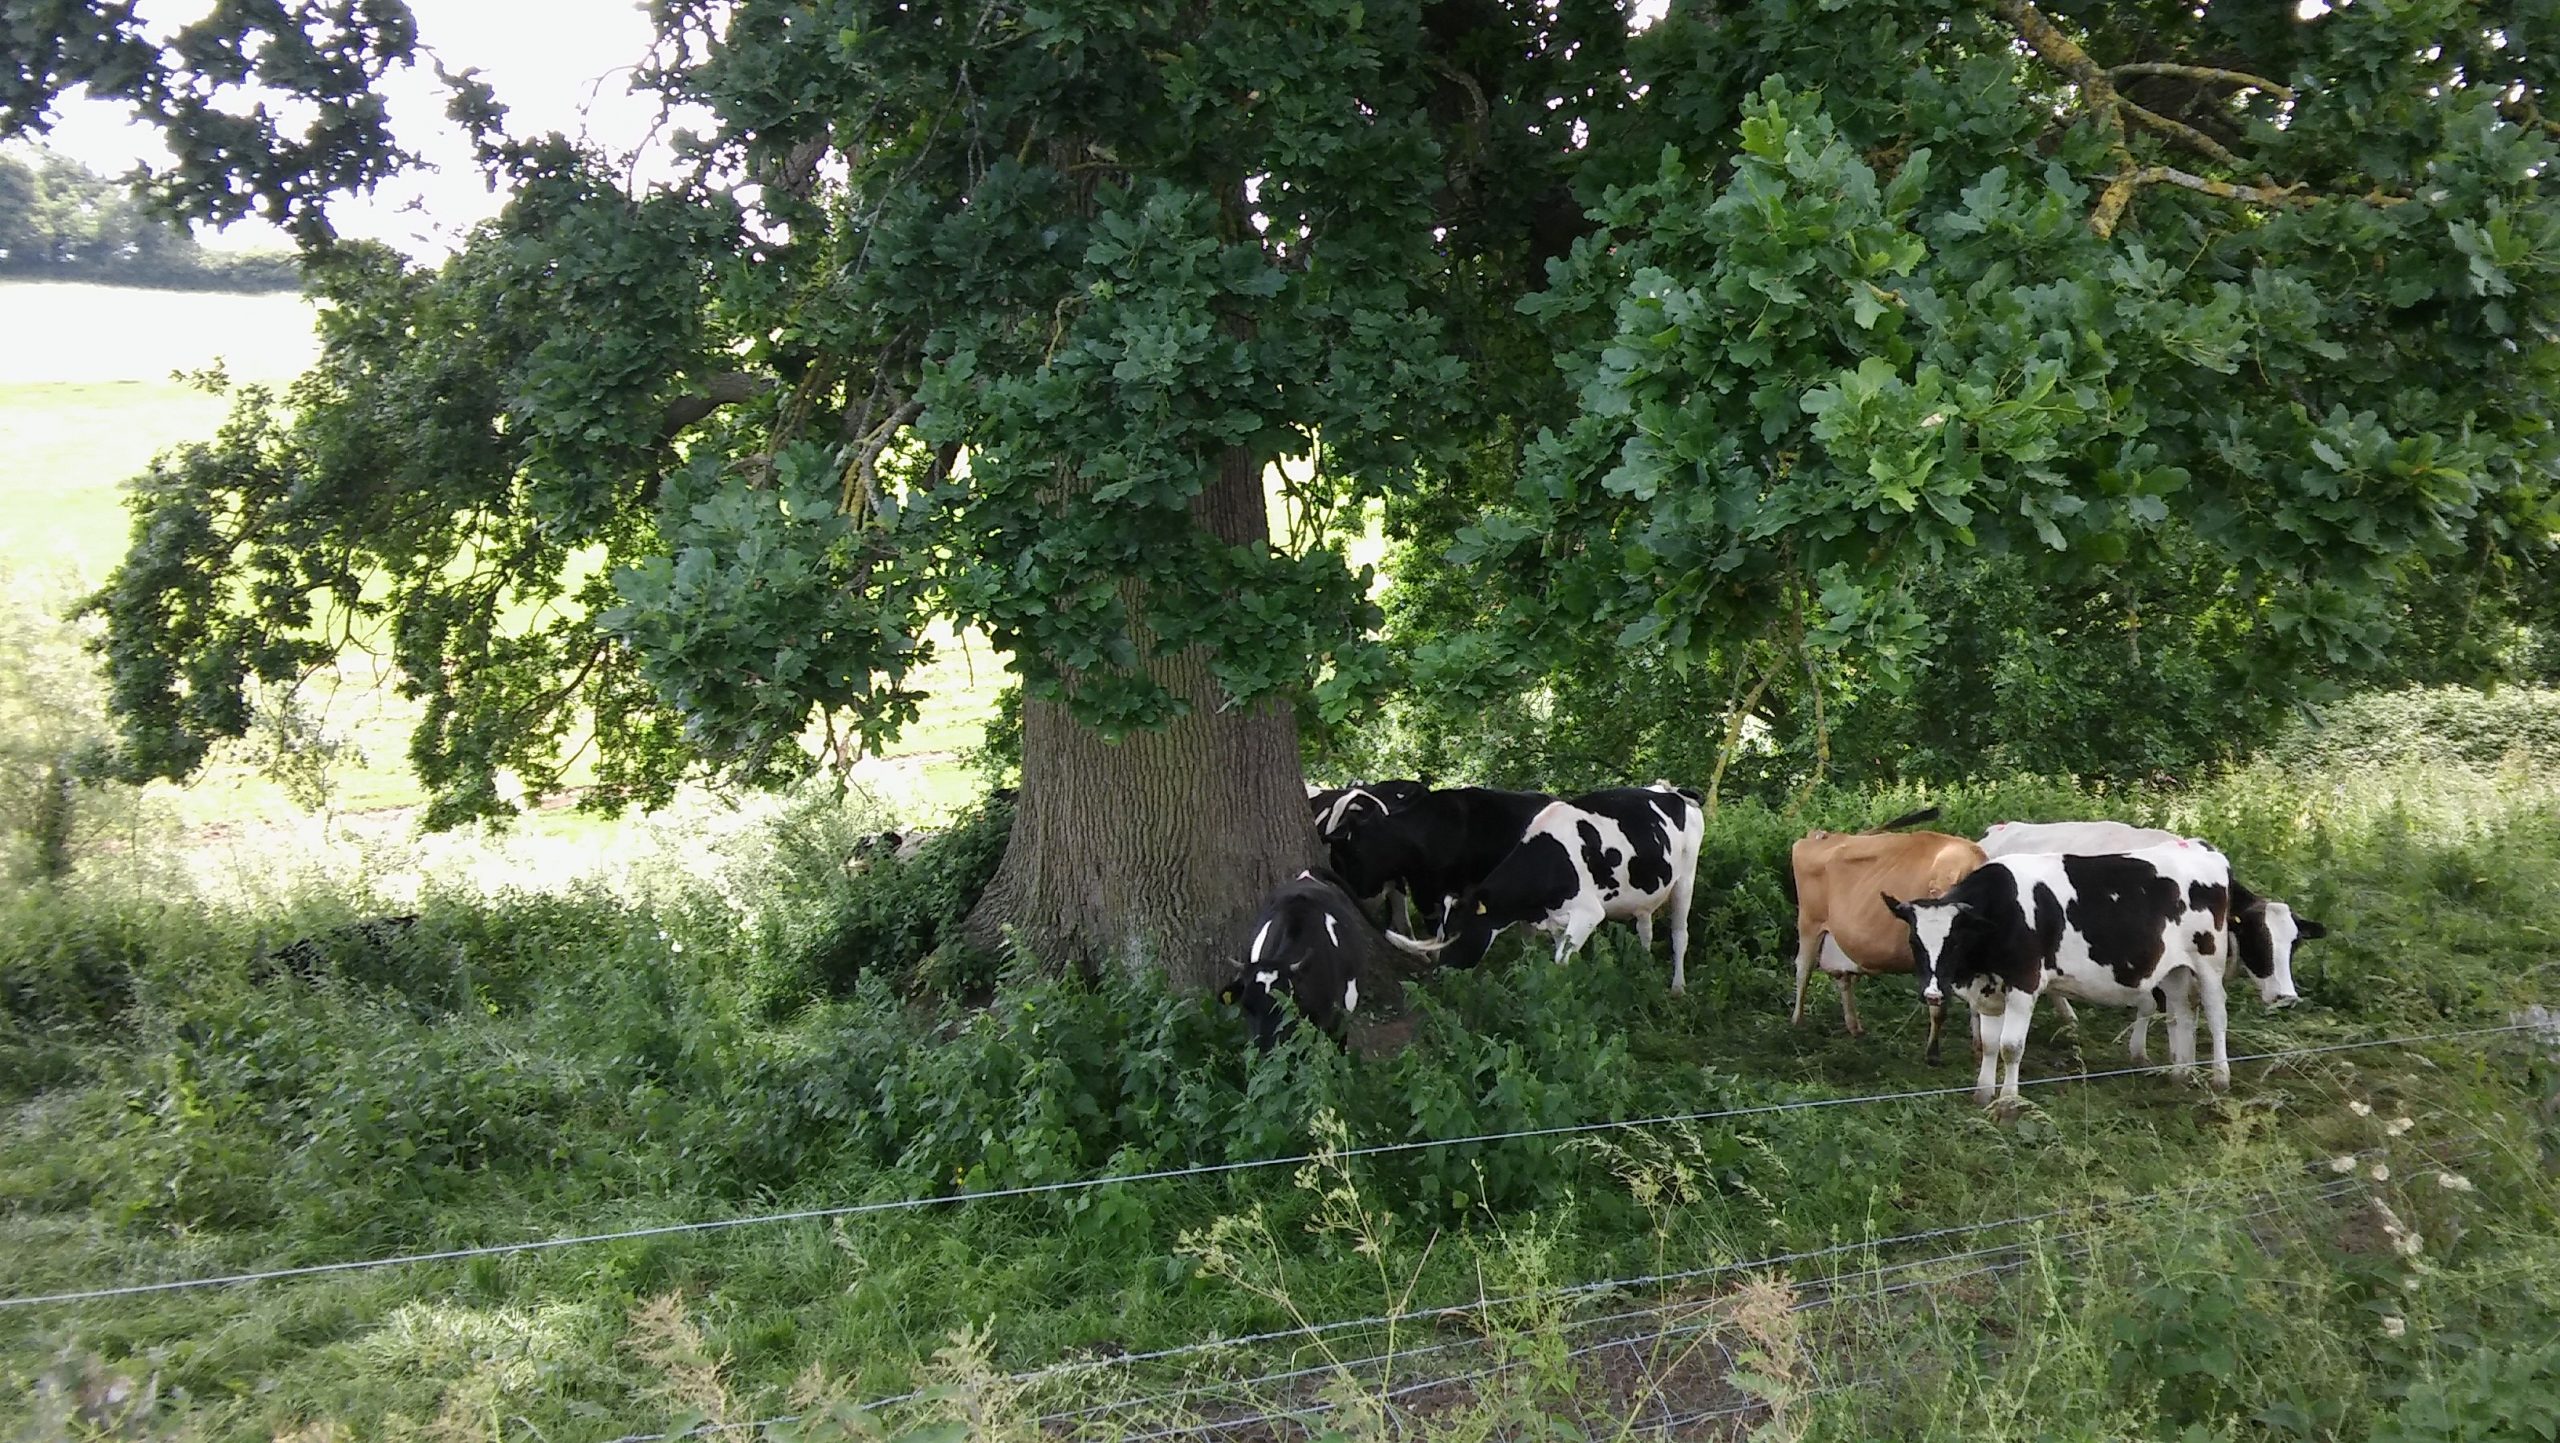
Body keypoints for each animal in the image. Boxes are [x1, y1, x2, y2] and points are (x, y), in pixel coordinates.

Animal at [1385, 783, 1704, 992]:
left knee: (1680, 932)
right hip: (1646, 892)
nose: (1440, 976)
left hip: (1685, 878)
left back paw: (1678, 987)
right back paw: (1643, 967)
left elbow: (1560, 961)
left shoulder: (1588, 913)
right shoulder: (1555, 918)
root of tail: (1673, 790)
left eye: (1458, 934)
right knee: (1645, 928)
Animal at [1787, 807, 1980, 1063]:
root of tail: (1826, 836)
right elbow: (1940, 1008)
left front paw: (1980, 1048)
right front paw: (1932, 1053)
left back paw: (1854, 1027)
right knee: (1803, 970)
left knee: (1843, 978)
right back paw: (1797, 1022)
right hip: (1809, 922)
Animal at [1885, 841, 2250, 1109]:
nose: (1933, 992)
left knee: (2216, 1014)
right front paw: (1983, 1093)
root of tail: (2204, 849)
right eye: (1914, 940)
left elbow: (2010, 1046)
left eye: (1956, 939)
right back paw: (2180, 1074)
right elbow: (1989, 1045)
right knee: (2182, 1014)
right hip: (2173, 968)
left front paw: (2008, 1101)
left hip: (2208, 962)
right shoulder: (1989, 988)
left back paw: (2220, 1076)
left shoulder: (2024, 982)